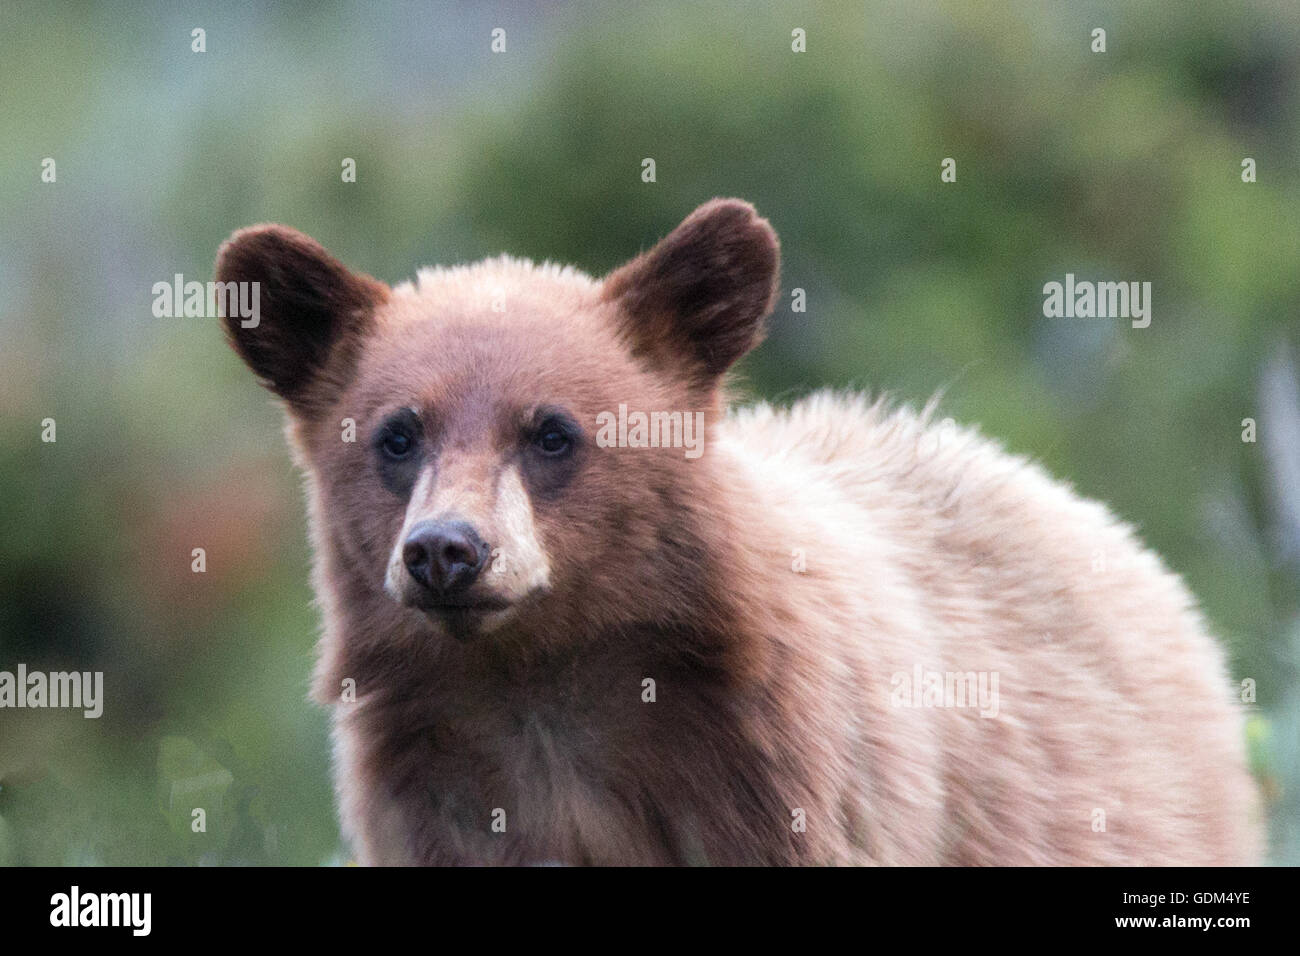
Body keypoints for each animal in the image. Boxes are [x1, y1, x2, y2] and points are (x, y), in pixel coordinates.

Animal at [216, 198, 1260, 865]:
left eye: (552, 431)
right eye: (398, 434)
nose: (446, 550)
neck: (544, 686)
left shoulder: (793, 784)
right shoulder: (434, 794)